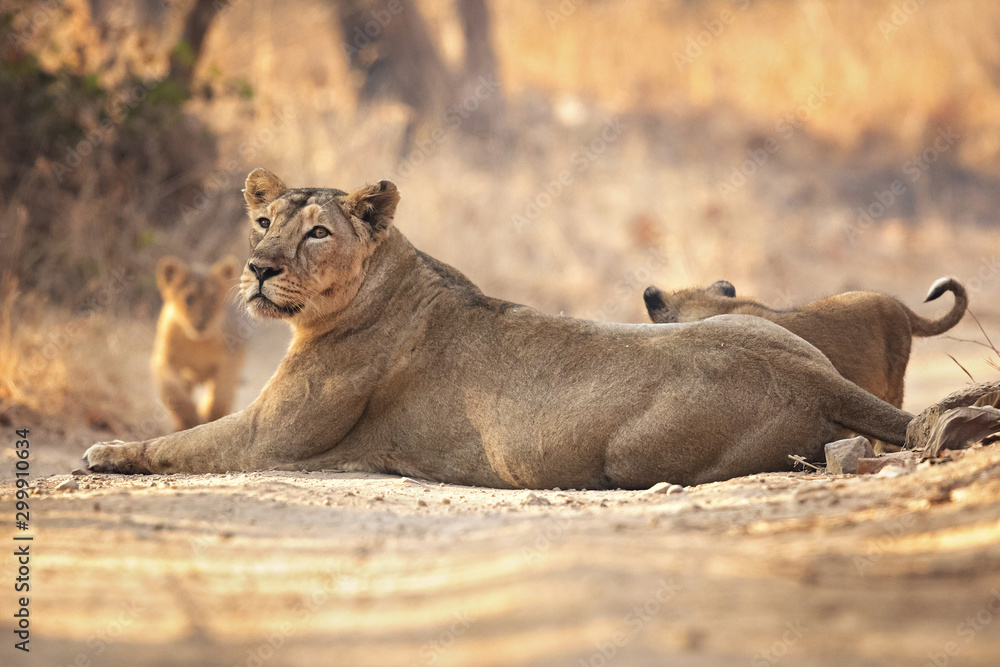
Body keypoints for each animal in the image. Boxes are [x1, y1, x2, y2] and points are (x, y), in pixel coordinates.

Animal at [152, 255, 247, 431]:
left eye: (214, 299)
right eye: (189, 299)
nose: (201, 324)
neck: (196, 342)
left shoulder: (231, 357)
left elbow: (221, 392)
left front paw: (211, 417)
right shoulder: (164, 360)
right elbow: (173, 391)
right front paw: (190, 419)